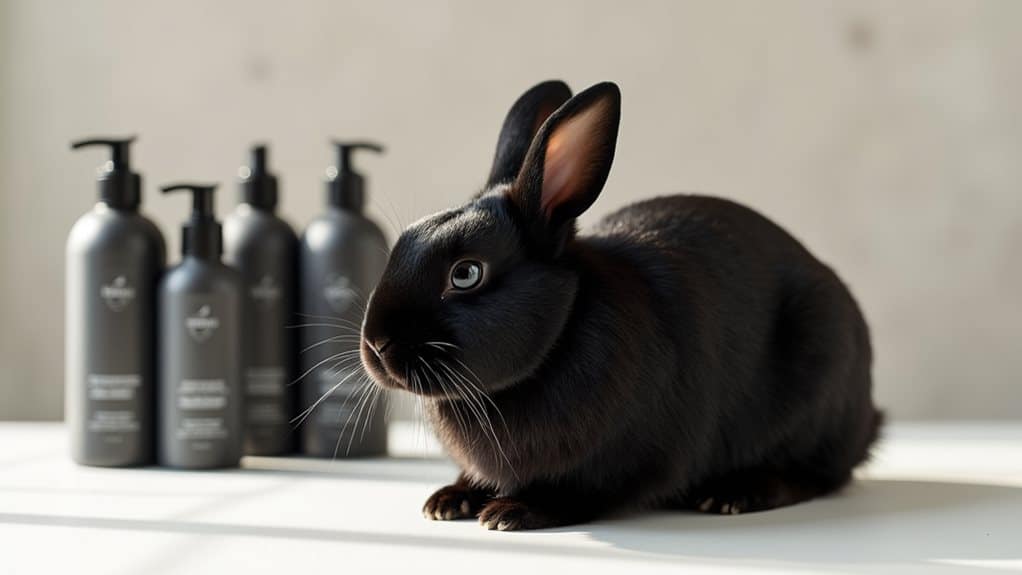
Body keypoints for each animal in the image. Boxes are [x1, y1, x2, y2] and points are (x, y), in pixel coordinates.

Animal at [360, 79, 883, 531]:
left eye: (466, 274)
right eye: (401, 245)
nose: (377, 346)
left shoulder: (633, 456)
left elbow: (584, 491)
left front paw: (514, 511)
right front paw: (449, 500)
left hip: (817, 384)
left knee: (815, 474)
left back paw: (734, 494)